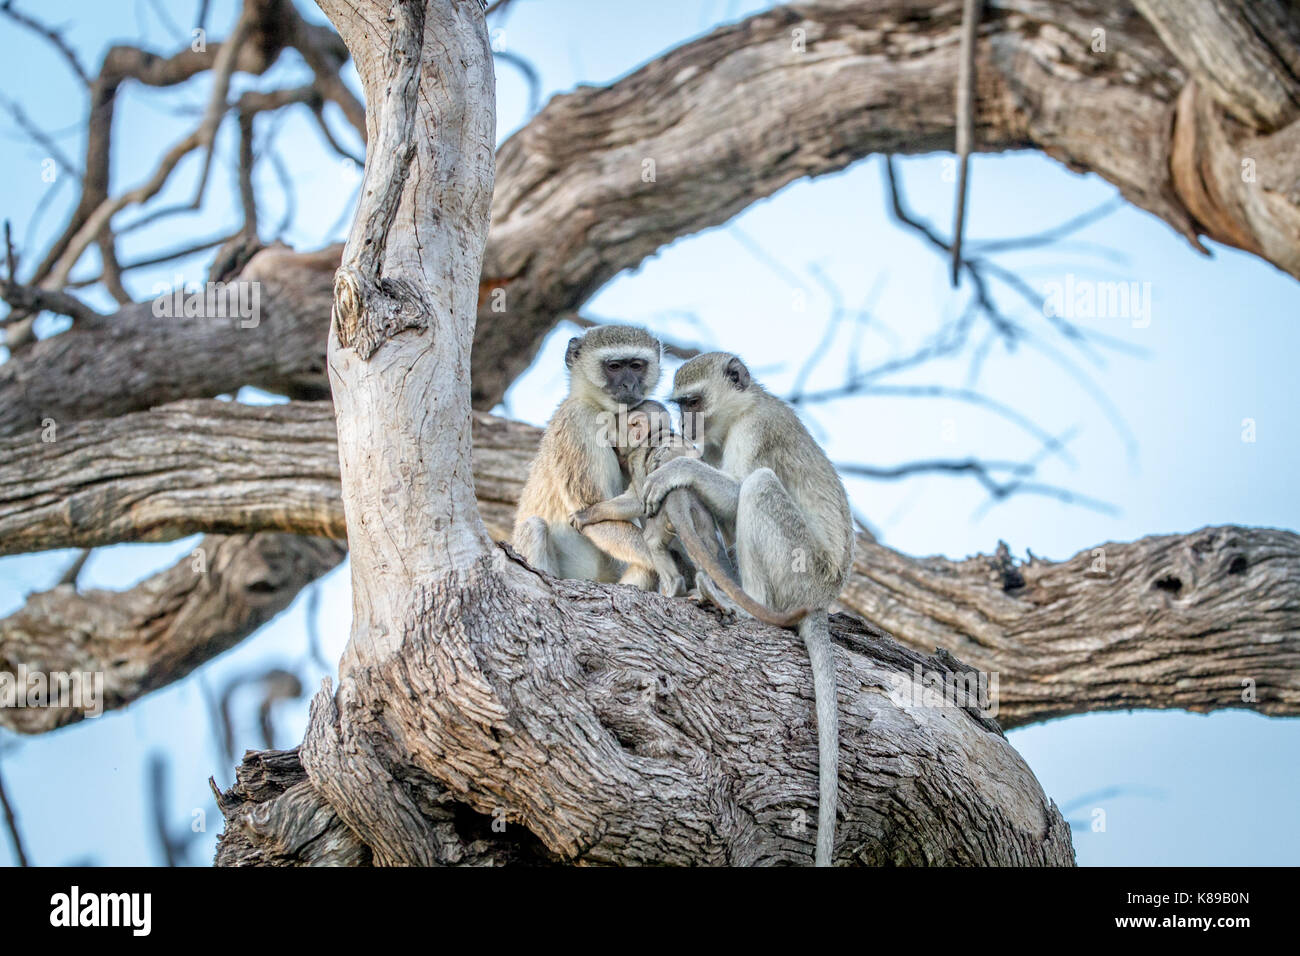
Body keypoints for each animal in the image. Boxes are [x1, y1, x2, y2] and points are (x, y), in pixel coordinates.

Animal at [512, 325, 666, 590]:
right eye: (614, 366)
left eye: (636, 365)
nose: (629, 385)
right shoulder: (578, 420)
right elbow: (592, 511)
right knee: (534, 527)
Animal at [570, 400, 808, 629]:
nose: (611, 444)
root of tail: (679, 497)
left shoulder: (636, 459)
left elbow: (636, 500)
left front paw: (588, 514)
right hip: (701, 519)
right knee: (706, 546)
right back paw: (707, 586)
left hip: (663, 521)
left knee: (653, 541)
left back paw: (676, 586)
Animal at [639, 352, 854, 867]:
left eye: (693, 403)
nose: (685, 424)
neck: (742, 410)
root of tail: (822, 599)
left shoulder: (757, 429)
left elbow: (737, 494)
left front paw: (674, 467)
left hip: (801, 569)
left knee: (756, 487)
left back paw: (747, 607)